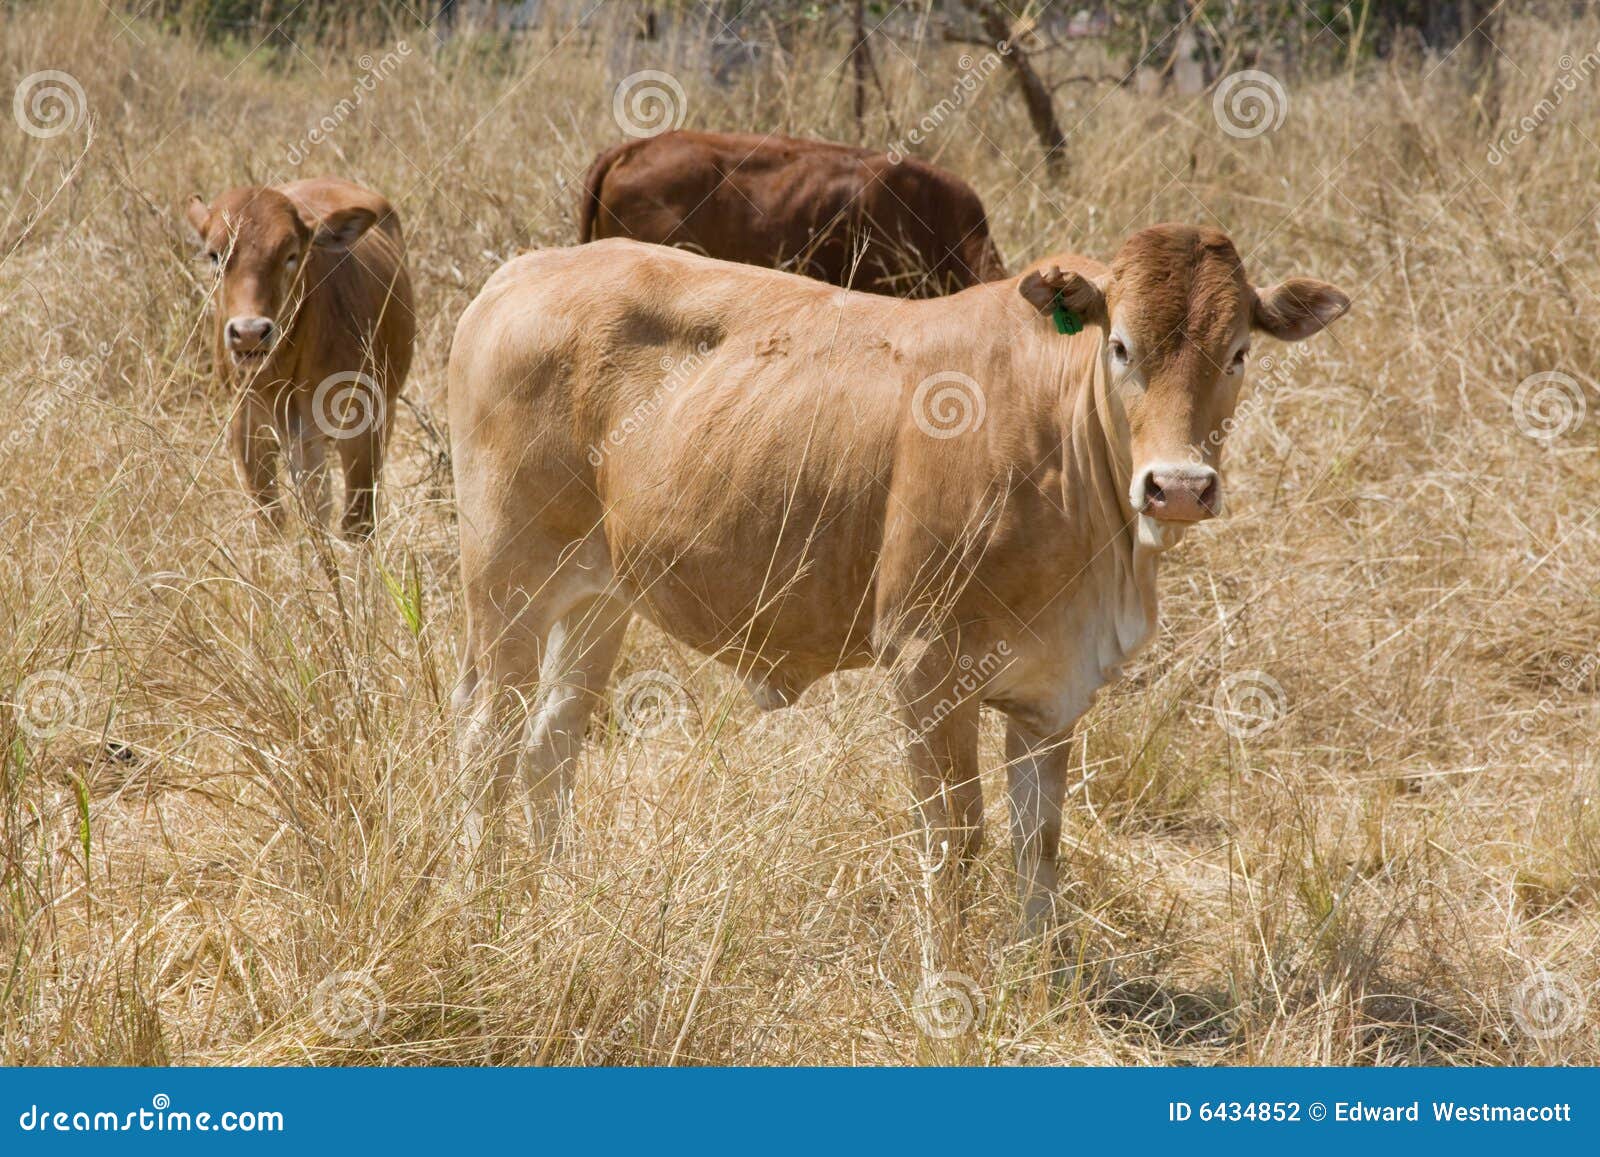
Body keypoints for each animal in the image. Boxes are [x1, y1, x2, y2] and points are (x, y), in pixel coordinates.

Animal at [185, 177, 415, 539]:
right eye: (214, 255)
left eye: (291, 255)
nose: (249, 332)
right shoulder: (249, 427)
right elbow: (273, 518)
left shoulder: (362, 428)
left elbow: (356, 522)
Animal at [446, 224, 1347, 936]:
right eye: (1121, 345)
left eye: (1238, 353)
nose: (1180, 486)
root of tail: (523, 271)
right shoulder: (926, 669)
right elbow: (952, 839)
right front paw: (946, 983)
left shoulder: (1055, 691)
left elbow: (1038, 847)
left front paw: (1035, 981)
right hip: (507, 585)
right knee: (487, 745)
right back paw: (481, 900)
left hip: (600, 599)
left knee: (549, 747)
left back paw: (562, 898)